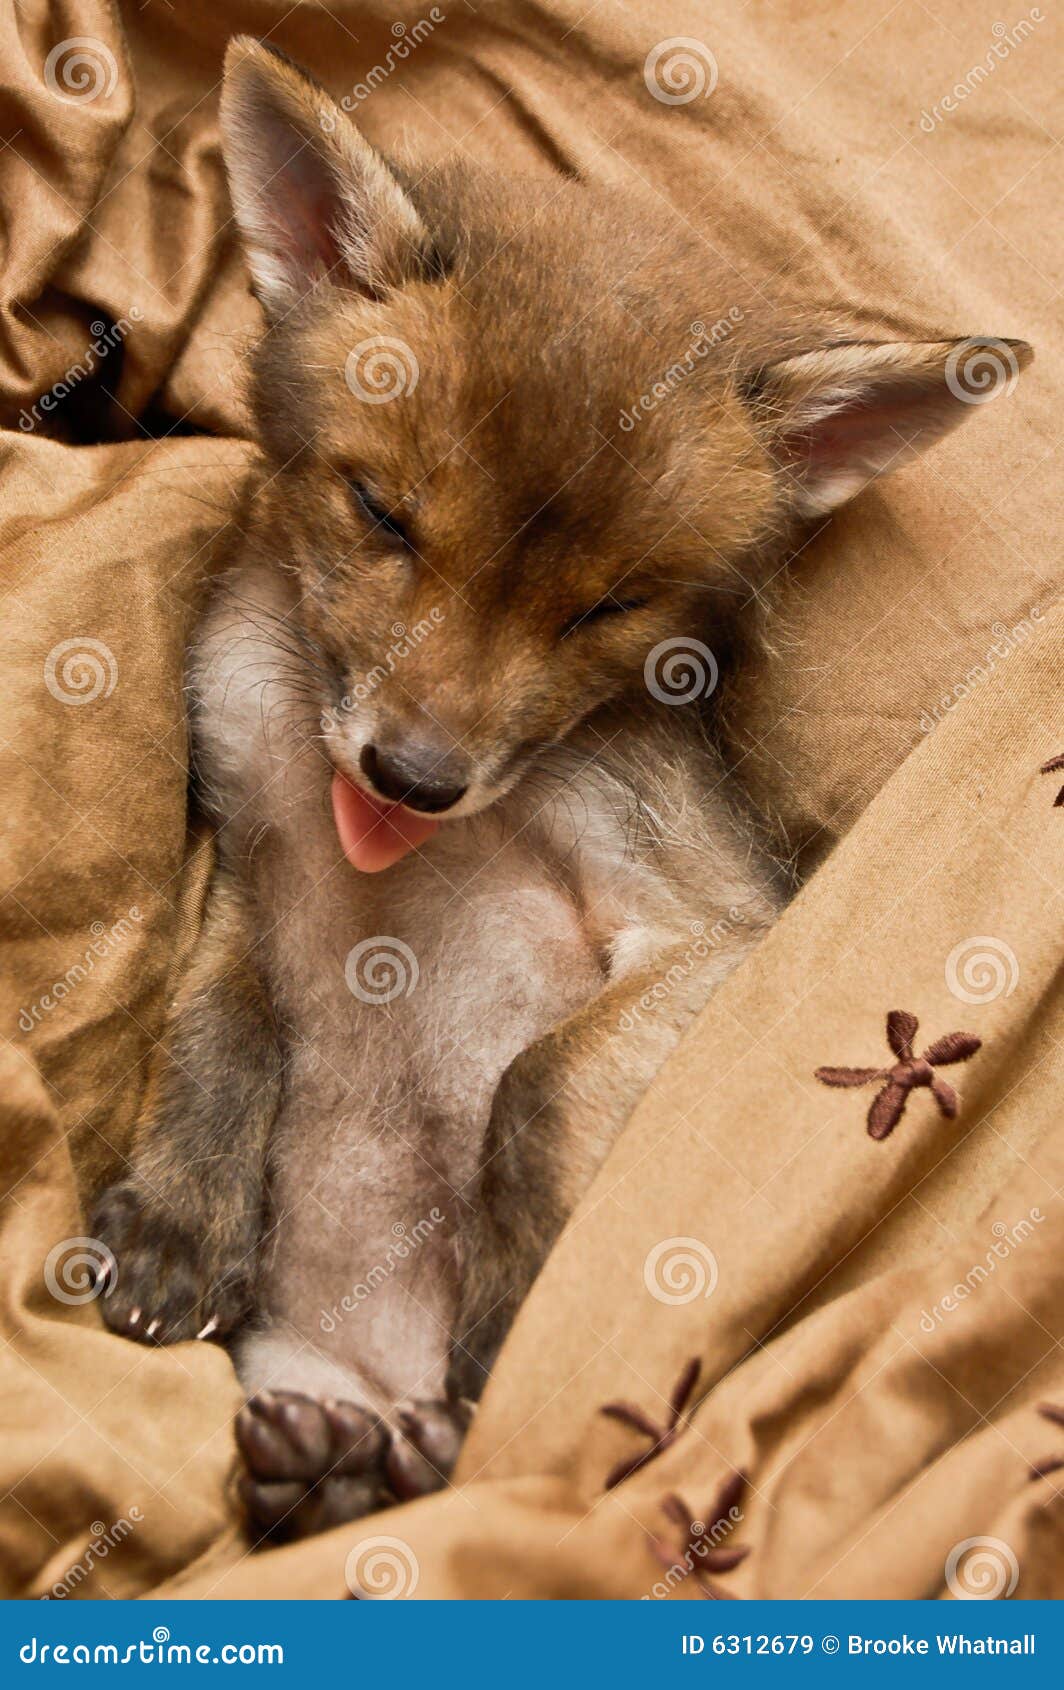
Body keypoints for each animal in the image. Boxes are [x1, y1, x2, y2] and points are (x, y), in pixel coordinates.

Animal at [89, 36, 1031, 1542]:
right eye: (382, 515)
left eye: (609, 607)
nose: (413, 777)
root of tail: (364, 1374)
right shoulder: (247, 853)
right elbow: (218, 1032)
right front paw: (184, 1217)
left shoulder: (721, 928)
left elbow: (533, 1085)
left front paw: (515, 1322)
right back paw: (329, 1466)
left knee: (419, 1467)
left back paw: (411, 1453)